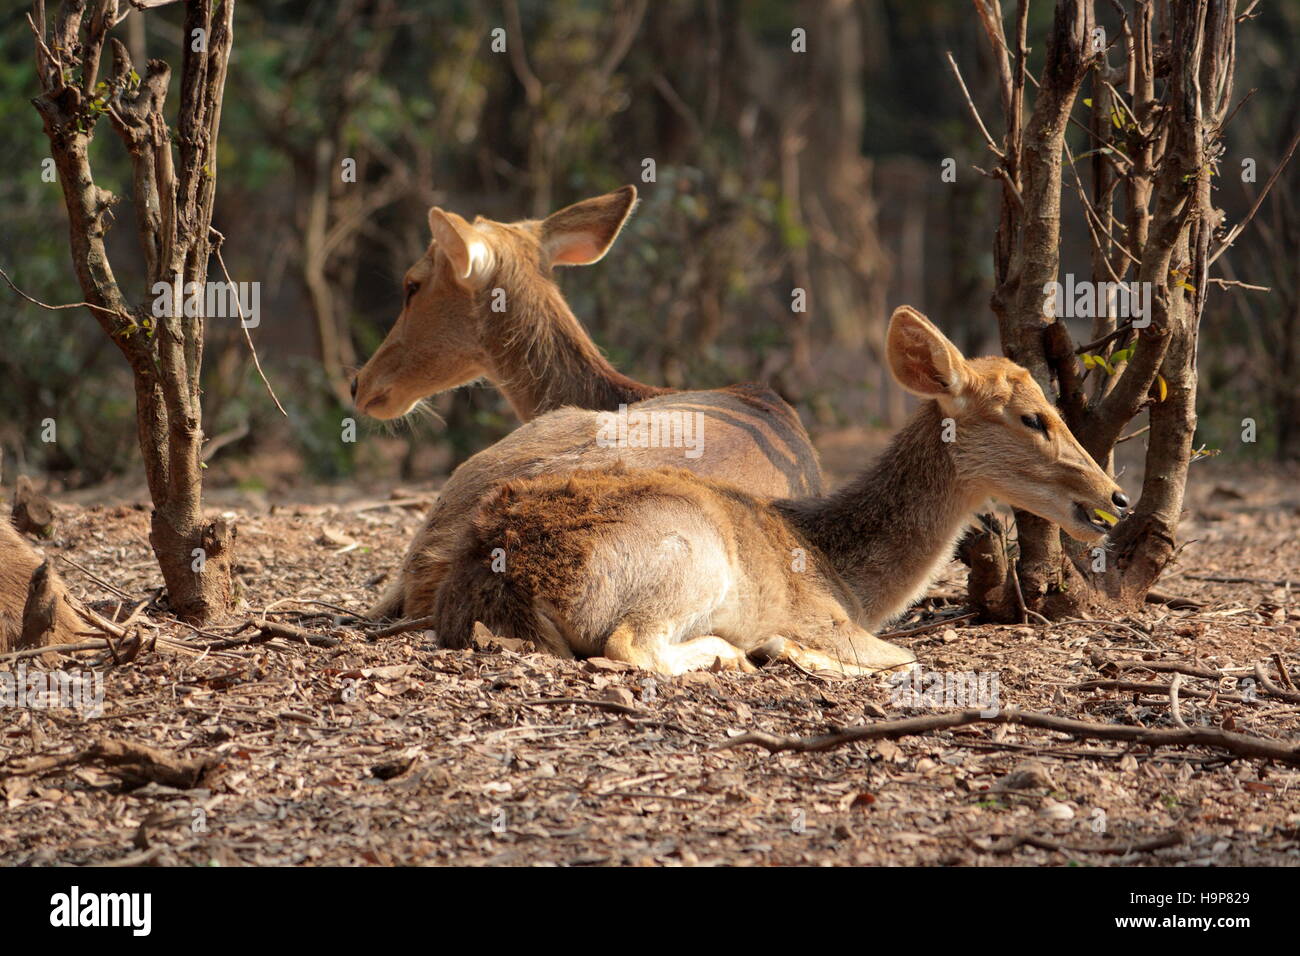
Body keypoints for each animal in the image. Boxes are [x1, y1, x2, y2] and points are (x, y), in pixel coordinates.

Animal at [428, 306, 1131, 676]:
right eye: (1034, 418)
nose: (1116, 498)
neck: (849, 580)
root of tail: (505, 576)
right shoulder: (825, 616)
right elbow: (905, 657)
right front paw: (785, 648)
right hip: (687, 560)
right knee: (630, 646)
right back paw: (738, 652)